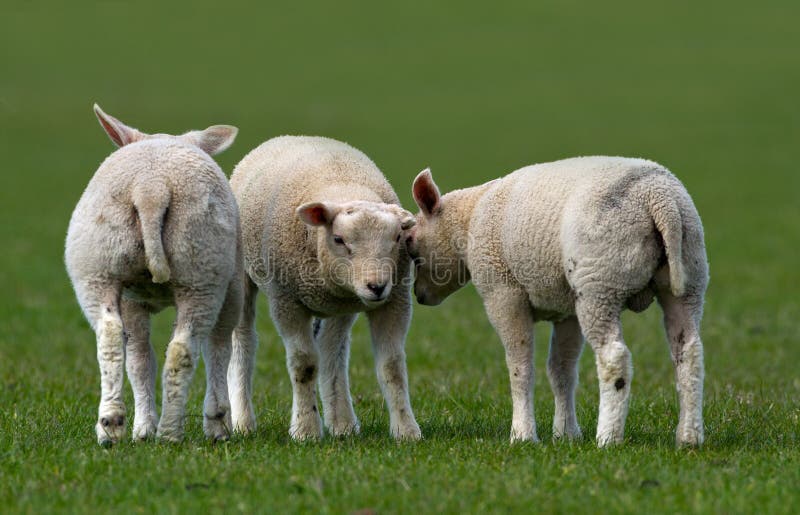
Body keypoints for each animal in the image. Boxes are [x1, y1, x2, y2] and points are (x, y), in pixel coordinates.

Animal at [65, 104, 243, 445]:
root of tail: (152, 187)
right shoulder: (231, 292)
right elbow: (219, 347)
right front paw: (217, 423)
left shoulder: (132, 299)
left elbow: (139, 359)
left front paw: (143, 428)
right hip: (202, 269)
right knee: (182, 349)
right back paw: (170, 433)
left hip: (99, 264)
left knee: (109, 336)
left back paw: (111, 424)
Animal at [227, 136, 421, 441]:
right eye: (339, 239)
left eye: (398, 238)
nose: (376, 286)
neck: (343, 186)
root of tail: (288, 136)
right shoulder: (286, 300)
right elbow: (304, 363)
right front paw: (306, 430)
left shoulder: (395, 300)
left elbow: (392, 366)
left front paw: (406, 430)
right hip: (242, 273)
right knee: (243, 341)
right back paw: (243, 423)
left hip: (342, 307)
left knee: (332, 349)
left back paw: (342, 423)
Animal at [406, 156, 708, 447]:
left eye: (411, 245)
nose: (419, 295)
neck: (468, 220)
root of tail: (660, 200)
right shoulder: (567, 311)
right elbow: (561, 370)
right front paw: (566, 433)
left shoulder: (503, 294)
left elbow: (520, 367)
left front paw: (523, 435)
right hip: (688, 275)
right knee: (689, 352)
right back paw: (689, 437)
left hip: (600, 282)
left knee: (614, 357)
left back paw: (608, 437)